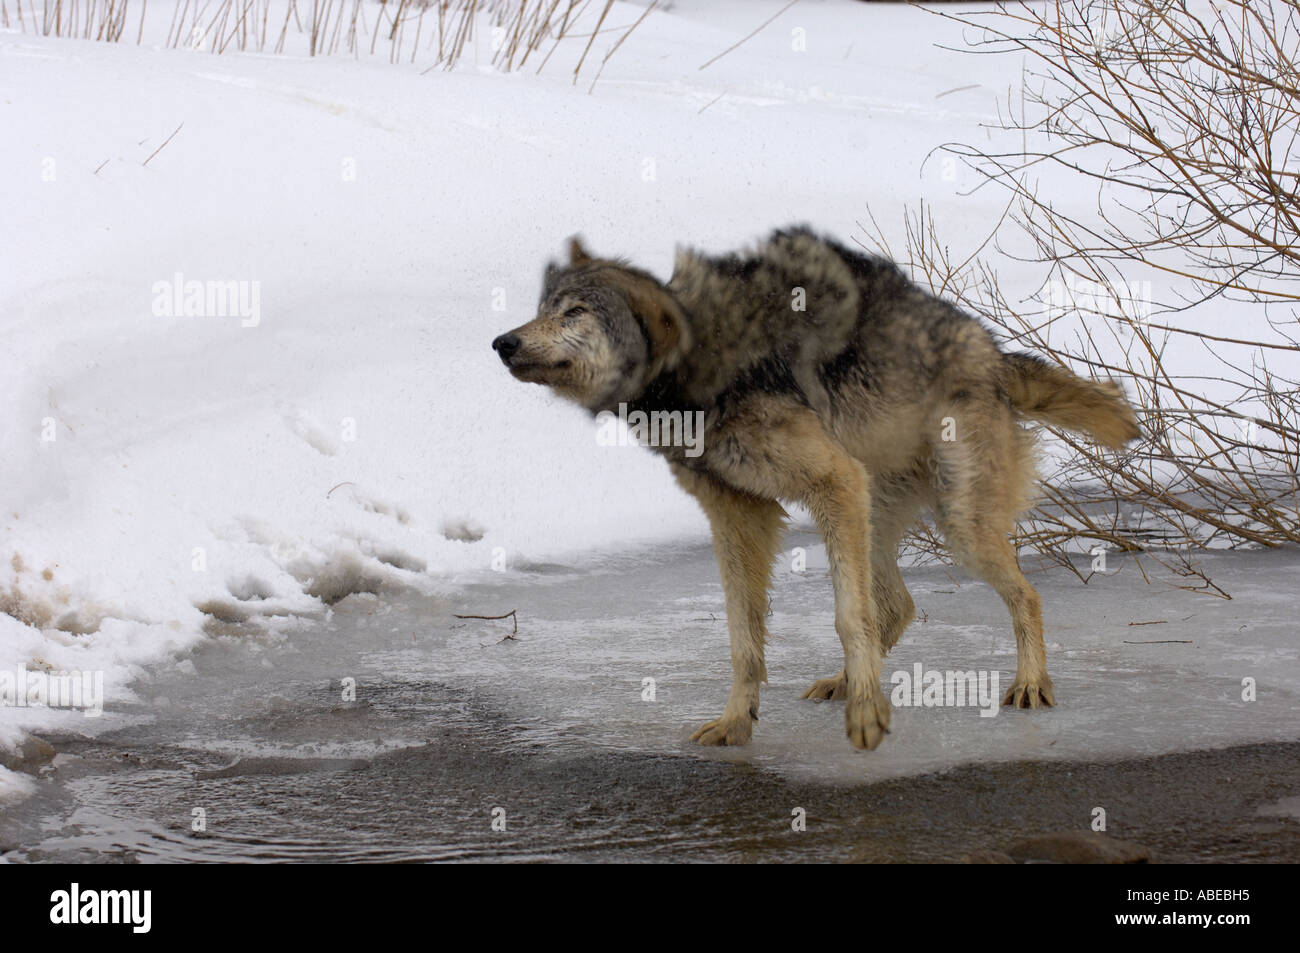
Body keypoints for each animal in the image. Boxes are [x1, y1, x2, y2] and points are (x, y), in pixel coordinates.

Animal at [492, 228, 1139, 750]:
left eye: (574, 311)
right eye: (538, 309)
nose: (503, 342)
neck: (692, 368)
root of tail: (997, 357)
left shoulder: (832, 482)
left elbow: (847, 617)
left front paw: (868, 719)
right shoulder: (737, 513)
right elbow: (744, 636)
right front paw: (737, 723)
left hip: (953, 525)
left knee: (1020, 596)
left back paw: (1028, 685)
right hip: (874, 513)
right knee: (897, 607)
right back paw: (845, 682)